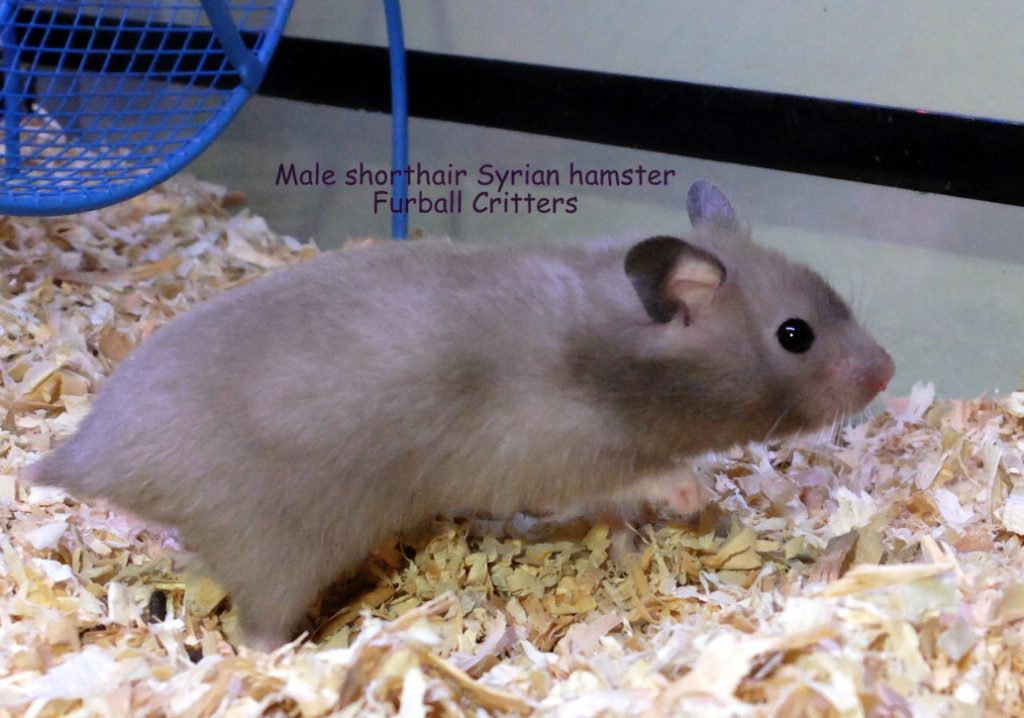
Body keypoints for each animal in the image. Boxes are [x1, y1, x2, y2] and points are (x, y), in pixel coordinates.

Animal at [24, 181, 894, 650]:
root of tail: (81, 456)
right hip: (280, 547)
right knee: (257, 632)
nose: (888, 372)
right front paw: (691, 496)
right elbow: (635, 478)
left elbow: (619, 510)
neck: (614, 354)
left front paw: (637, 541)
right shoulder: (554, 453)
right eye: (794, 335)